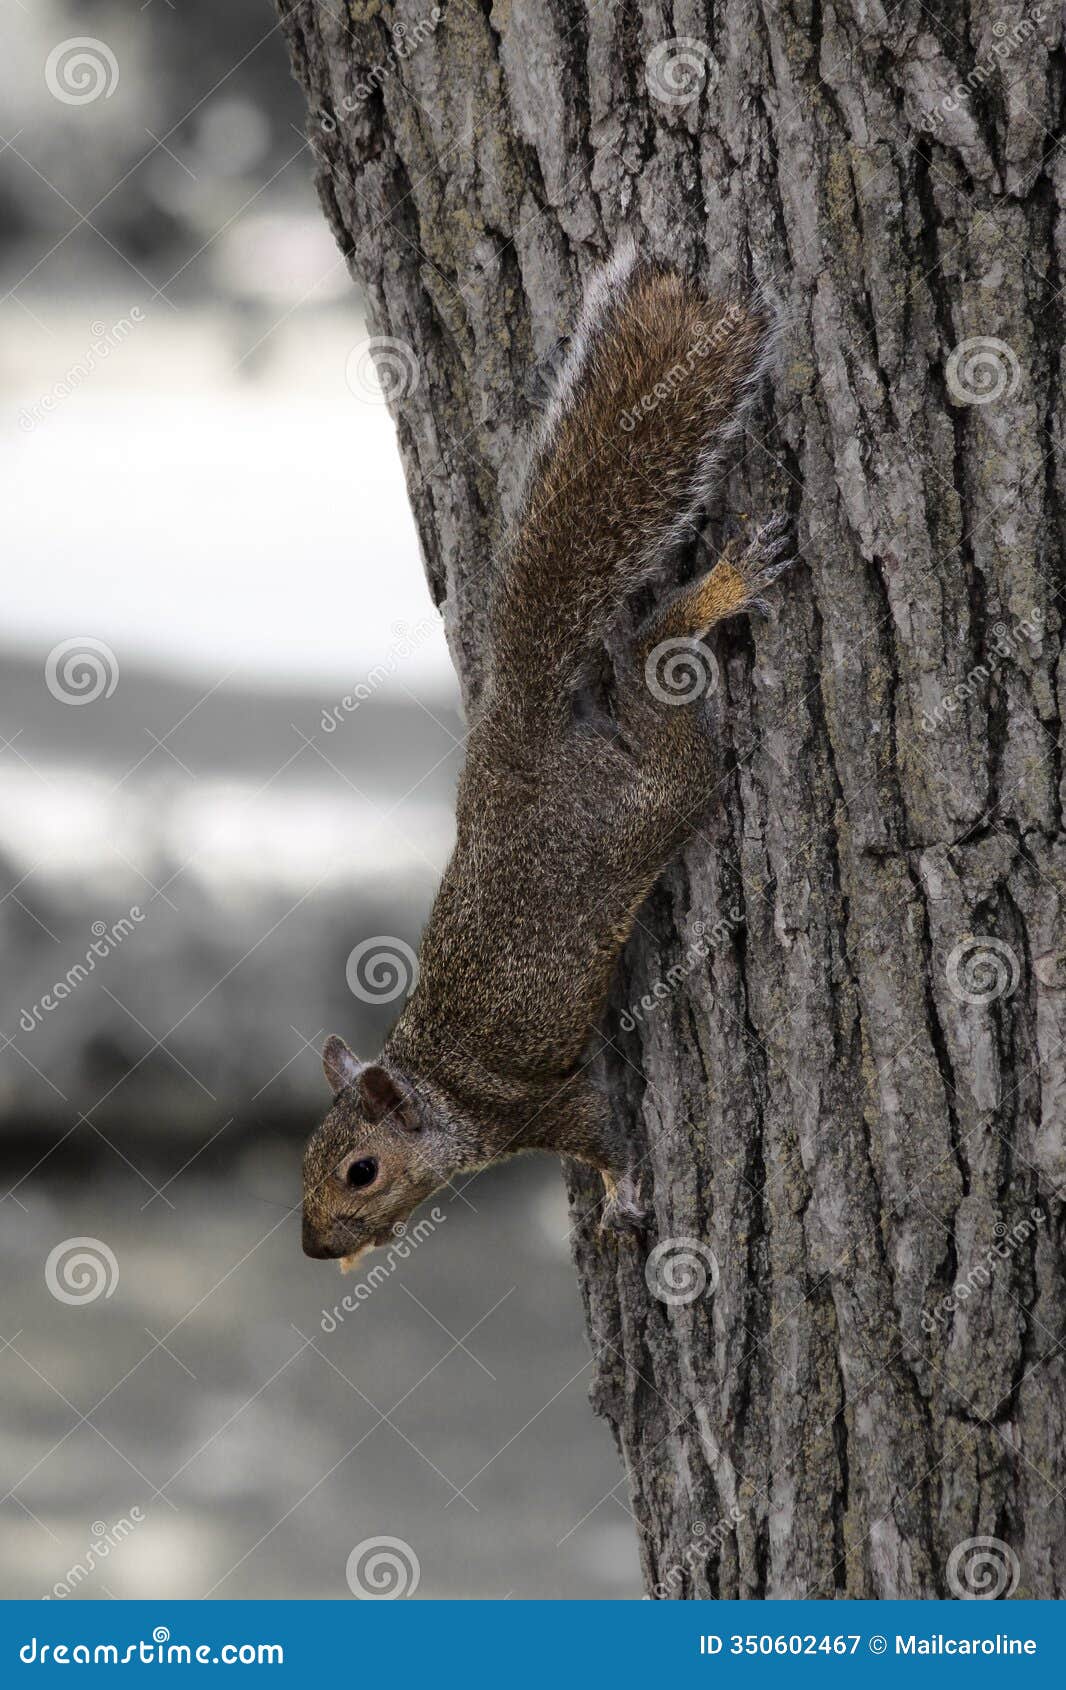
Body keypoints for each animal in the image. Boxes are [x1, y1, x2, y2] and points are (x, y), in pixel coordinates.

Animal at [302, 243, 795, 1267]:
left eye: (361, 1171)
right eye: (302, 1165)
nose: (317, 1249)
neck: (443, 1093)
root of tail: (515, 736)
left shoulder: (540, 1108)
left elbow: (606, 1139)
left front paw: (620, 1202)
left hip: (657, 792)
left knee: (648, 650)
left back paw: (720, 587)